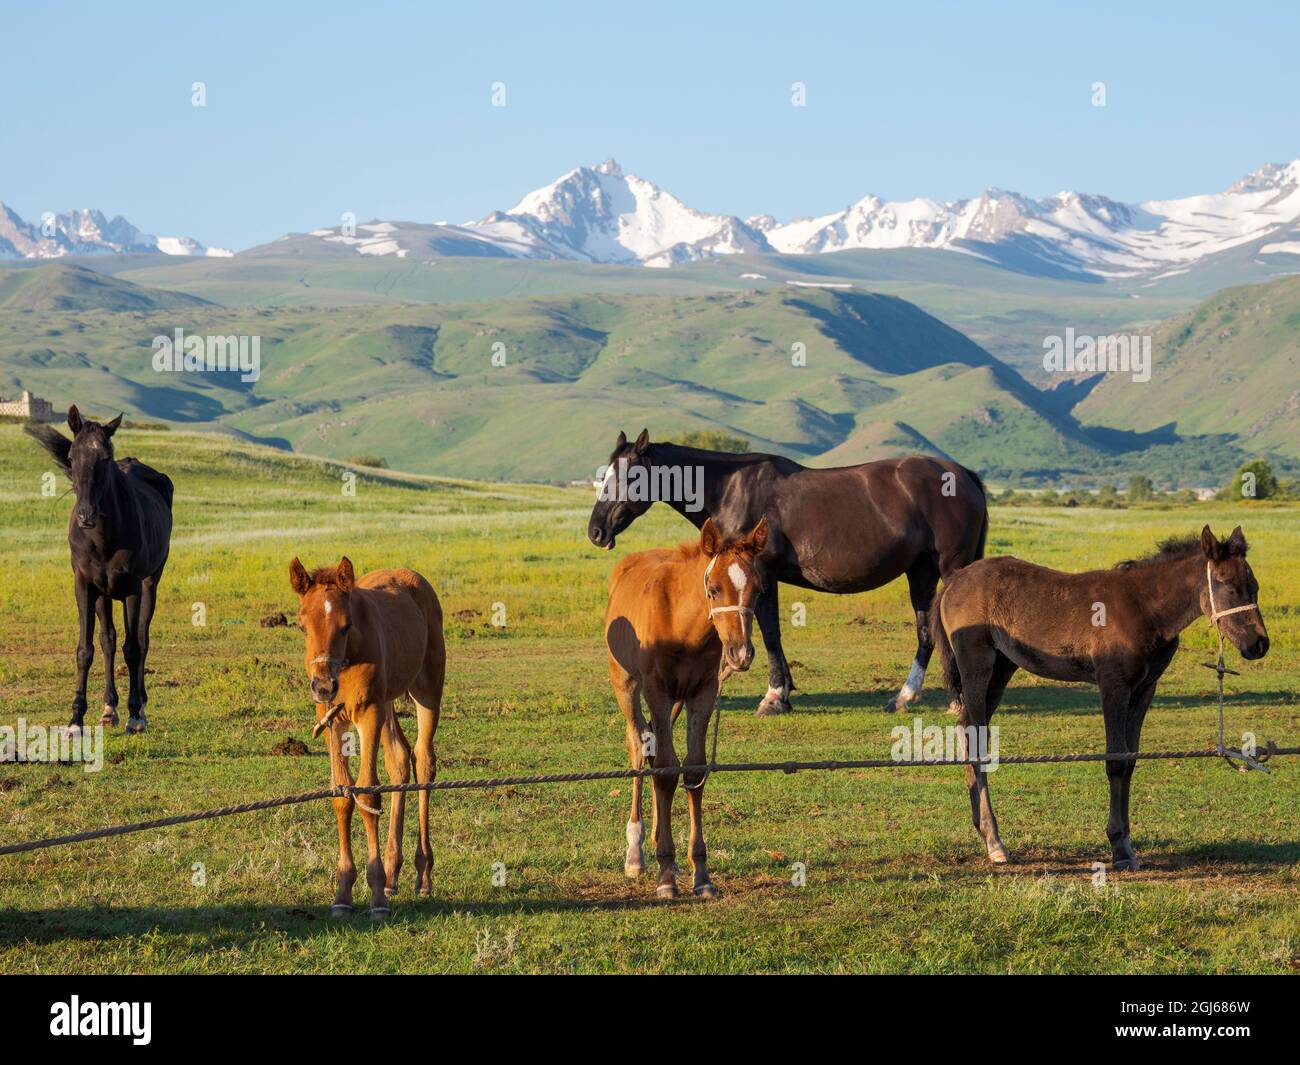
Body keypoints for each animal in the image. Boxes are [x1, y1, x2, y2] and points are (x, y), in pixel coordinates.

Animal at [26, 406, 173, 736]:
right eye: (71, 455)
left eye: (106, 457)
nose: (86, 515)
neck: (103, 536)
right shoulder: (84, 586)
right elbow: (87, 649)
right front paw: (76, 721)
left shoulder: (132, 587)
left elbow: (133, 648)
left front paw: (134, 716)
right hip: (104, 594)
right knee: (108, 640)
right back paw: (109, 708)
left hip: (150, 583)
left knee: (142, 638)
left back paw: (140, 708)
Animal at [289, 556, 446, 918]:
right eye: (302, 626)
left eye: (346, 625)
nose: (323, 686)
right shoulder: (332, 721)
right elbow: (342, 795)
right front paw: (343, 893)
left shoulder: (368, 714)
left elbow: (369, 793)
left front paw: (376, 897)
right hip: (387, 701)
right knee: (400, 759)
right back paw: (392, 873)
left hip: (426, 688)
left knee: (424, 762)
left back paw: (423, 873)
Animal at [587, 430, 987, 716]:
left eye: (630, 477)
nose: (596, 531)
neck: (729, 490)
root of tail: (963, 475)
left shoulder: (761, 573)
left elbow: (769, 634)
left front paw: (775, 696)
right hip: (920, 572)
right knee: (926, 633)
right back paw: (907, 697)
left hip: (949, 569)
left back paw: (957, 702)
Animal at [605, 516, 768, 899]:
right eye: (714, 589)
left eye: (758, 590)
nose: (741, 653)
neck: (682, 625)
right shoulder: (657, 690)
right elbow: (665, 769)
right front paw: (665, 875)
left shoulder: (703, 692)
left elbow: (691, 769)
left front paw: (700, 874)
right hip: (626, 684)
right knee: (639, 746)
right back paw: (636, 850)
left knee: (652, 746)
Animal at [931, 525, 1268, 870]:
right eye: (1229, 587)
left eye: (1254, 586)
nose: (1259, 644)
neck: (1144, 609)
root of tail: (955, 579)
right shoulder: (1113, 685)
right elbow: (1116, 761)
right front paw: (1119, 849)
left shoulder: (1145, 689)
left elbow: (1130, 761)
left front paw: (1127, 845)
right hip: (977, 665)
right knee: (975, 738)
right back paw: (994, 841)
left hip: (1002, 668)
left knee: (969, 729)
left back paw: (983, 830)